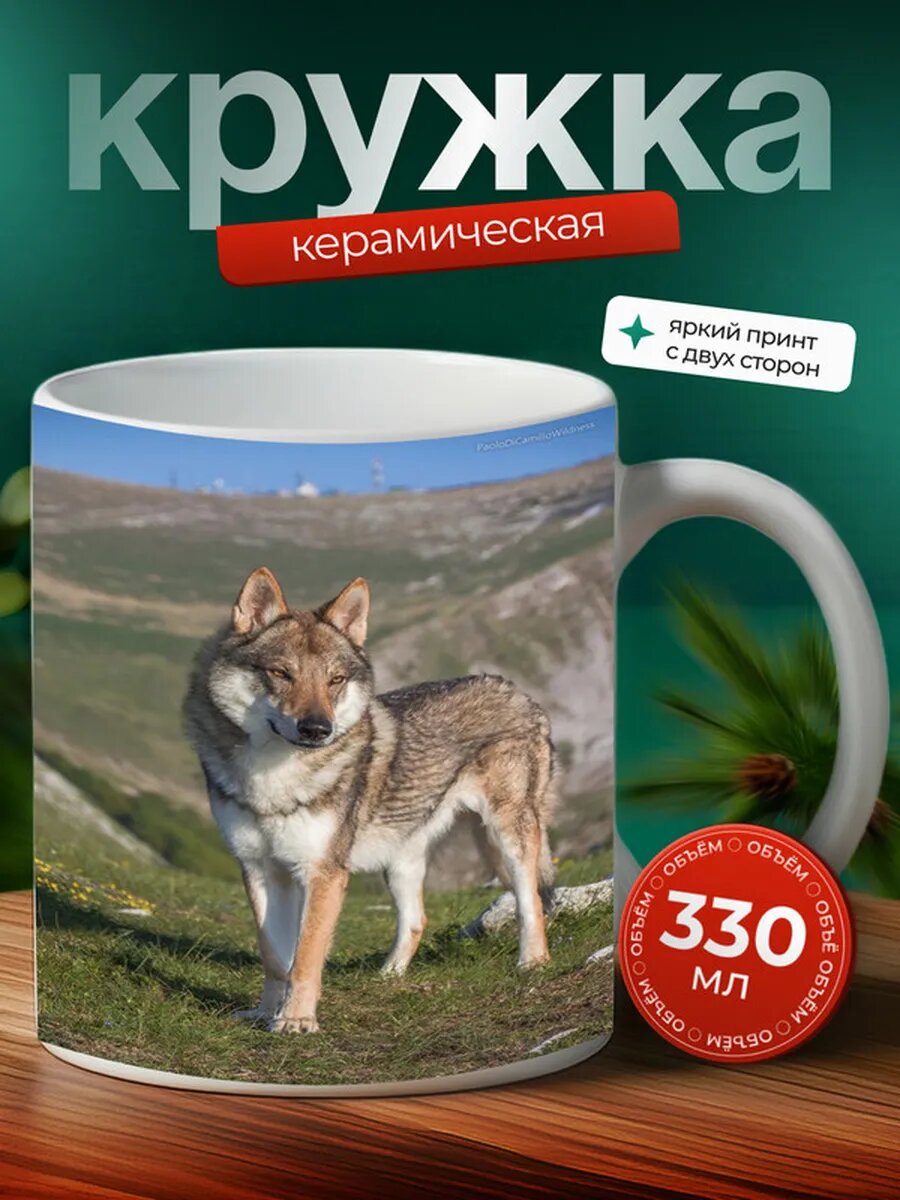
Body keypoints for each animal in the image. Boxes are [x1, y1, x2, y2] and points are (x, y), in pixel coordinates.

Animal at [183, 566, 556, 1034]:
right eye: (281, 673)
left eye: (335, 680)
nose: (317, 729)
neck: (273, 776)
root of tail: (518, 691)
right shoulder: (260, 868)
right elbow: (274, 956)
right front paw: (267, 1013)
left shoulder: (323, 873)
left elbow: (306, 956)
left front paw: (297, 1020)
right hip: (399, 861)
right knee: (416, 921)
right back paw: (387, 978)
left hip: (508, 836)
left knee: (531, 901)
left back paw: (533, 964)